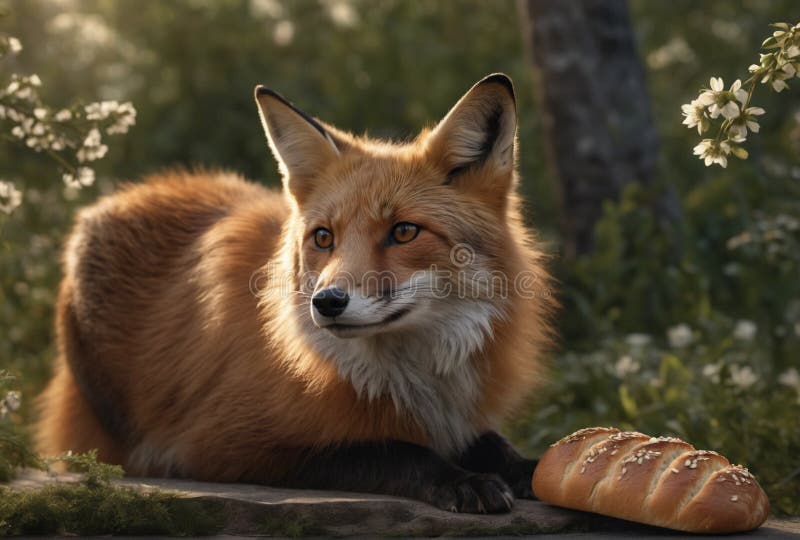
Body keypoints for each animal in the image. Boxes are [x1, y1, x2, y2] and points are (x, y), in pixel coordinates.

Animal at [36, 73, 555, 513]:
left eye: (405, 232)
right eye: (323, 238)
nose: (327, 302)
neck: (405, 378)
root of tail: (127, 194)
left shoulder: (457, 415)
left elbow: (494, 443)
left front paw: (533, 469)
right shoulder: (216, 443)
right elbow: (389, 450)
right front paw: (460, 479)